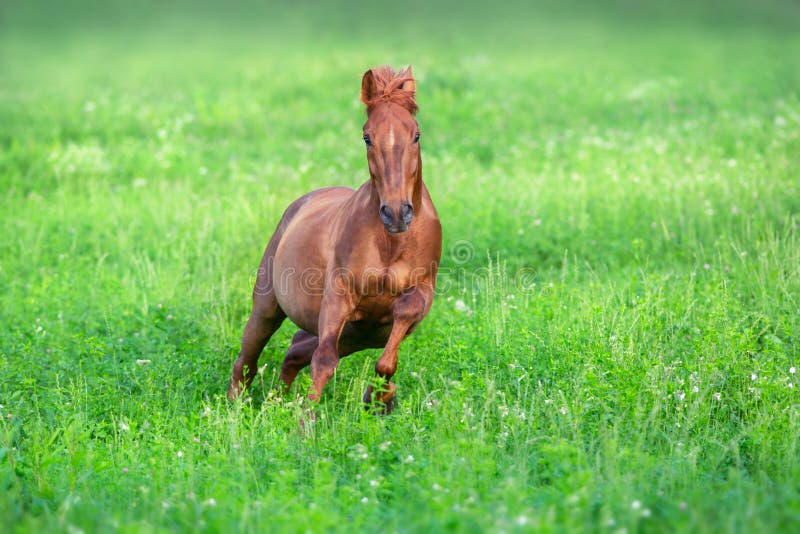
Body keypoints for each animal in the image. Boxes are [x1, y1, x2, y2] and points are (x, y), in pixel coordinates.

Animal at [228, 66, 442, 413]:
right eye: (367, 137)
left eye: (416, 134)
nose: (397, 213)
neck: (390, 243)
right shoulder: (339, 296)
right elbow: (324, 360)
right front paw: (307, 420)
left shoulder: (419, 295)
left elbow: (390, 352)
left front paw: (380, 397)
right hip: (270, 307)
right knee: (249, 356)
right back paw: (238, 407)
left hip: (360, 334)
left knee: (295, 349)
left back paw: (278, 403)